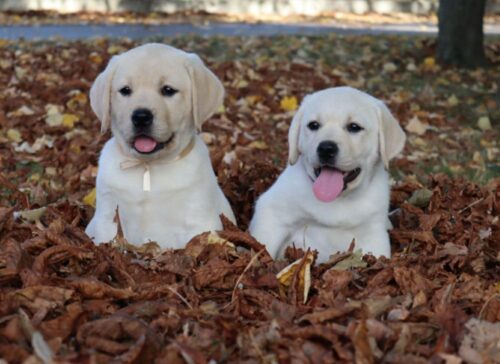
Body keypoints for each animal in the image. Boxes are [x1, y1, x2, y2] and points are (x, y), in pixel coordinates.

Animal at [85, 42, 234, 249]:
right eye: (125, 90)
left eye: (168, 90)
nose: (140, 117)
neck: (148, 166)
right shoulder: (107, 218)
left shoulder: (200, 221)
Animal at [250, 87, 406, 264]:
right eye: (313, 125)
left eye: (354, 127)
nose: (325, 148)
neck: (336, 200)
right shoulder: (271, 214)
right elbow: (263, 243)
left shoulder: (374, 235)